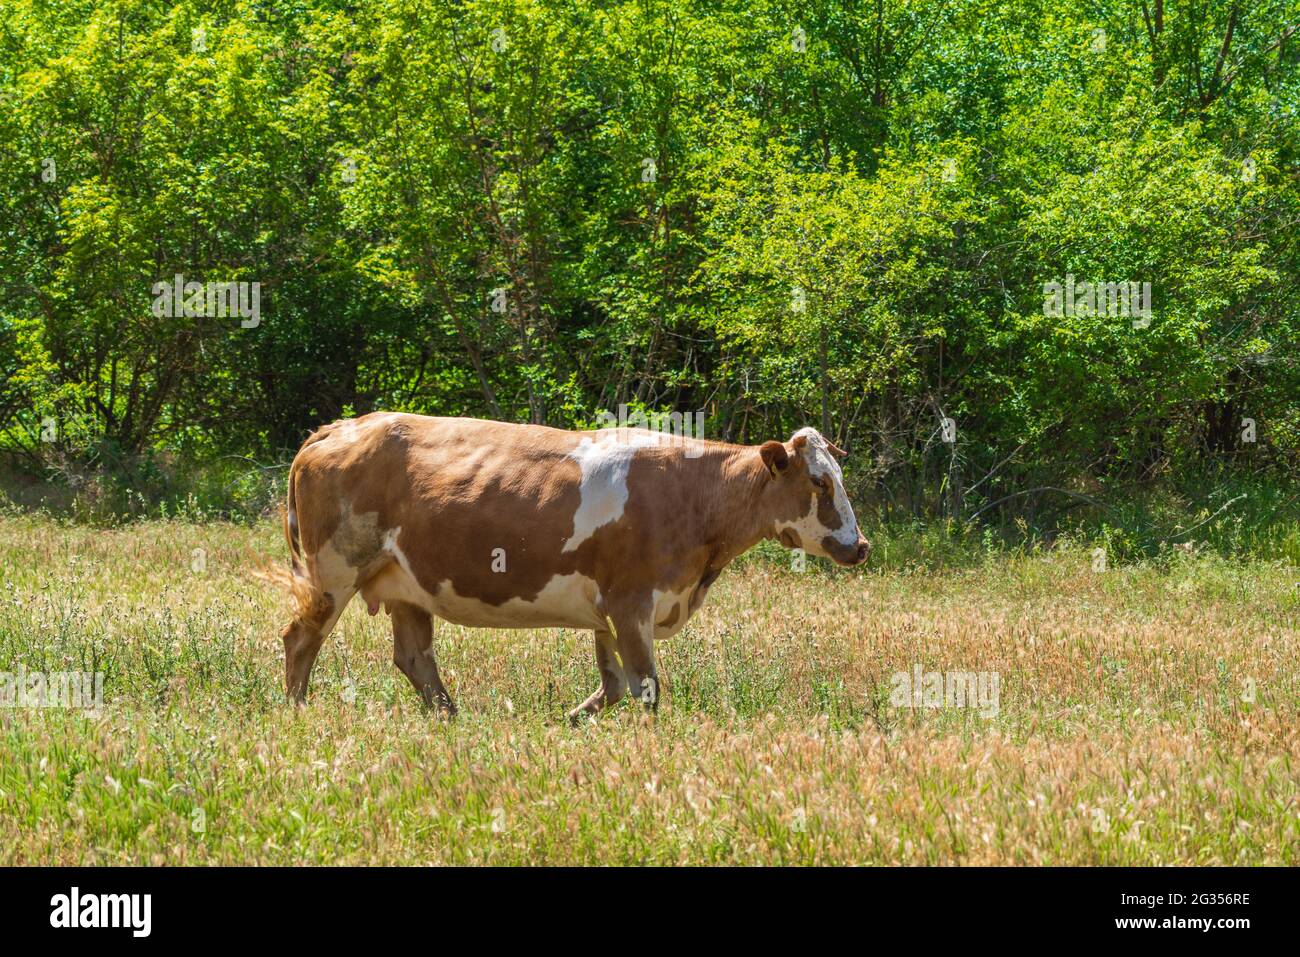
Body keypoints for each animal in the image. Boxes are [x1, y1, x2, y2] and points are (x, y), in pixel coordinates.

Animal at [271, 413, 869, 719]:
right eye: (820, 482)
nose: (859, 545)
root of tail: (338, 428)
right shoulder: (631, 602)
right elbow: (646, 686)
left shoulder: (607, 612)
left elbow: (614, 685)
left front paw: (570, 722)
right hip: (332, 573)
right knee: (301, 638)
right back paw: (298, 713)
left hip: (405, 584)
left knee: (414, 658)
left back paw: (450, 717)